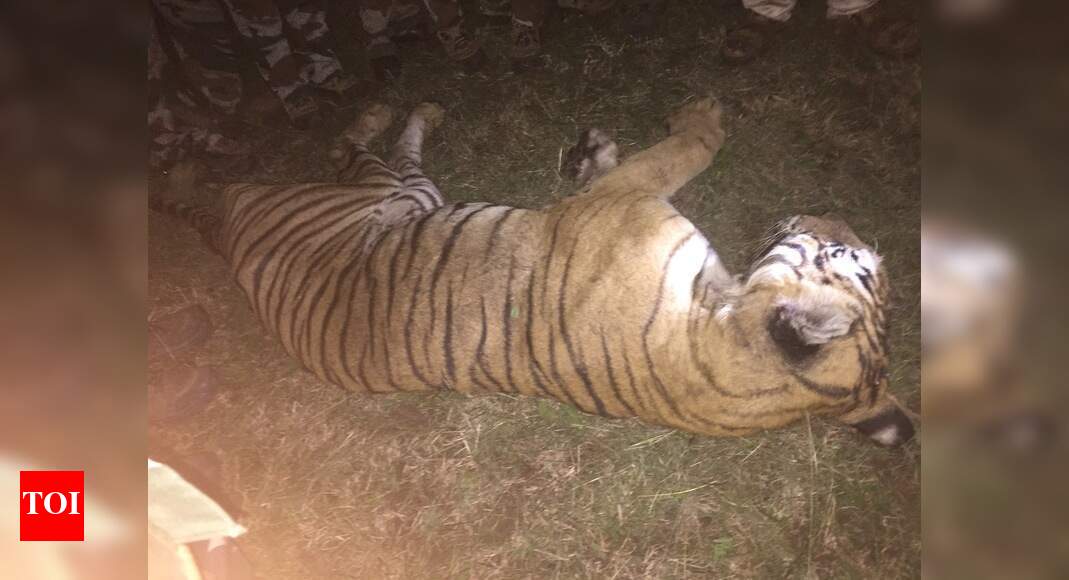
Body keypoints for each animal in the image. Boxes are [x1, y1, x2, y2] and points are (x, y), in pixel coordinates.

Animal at [152, 97, 914, 447]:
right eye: (858, 260)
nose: (830, 215)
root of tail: (222, 226)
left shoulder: (623, 197)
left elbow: (680, 150)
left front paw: (689, 116)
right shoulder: (626, 196)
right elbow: (677, 152)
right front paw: (613, 142)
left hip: (394, 194)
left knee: (357, 144)